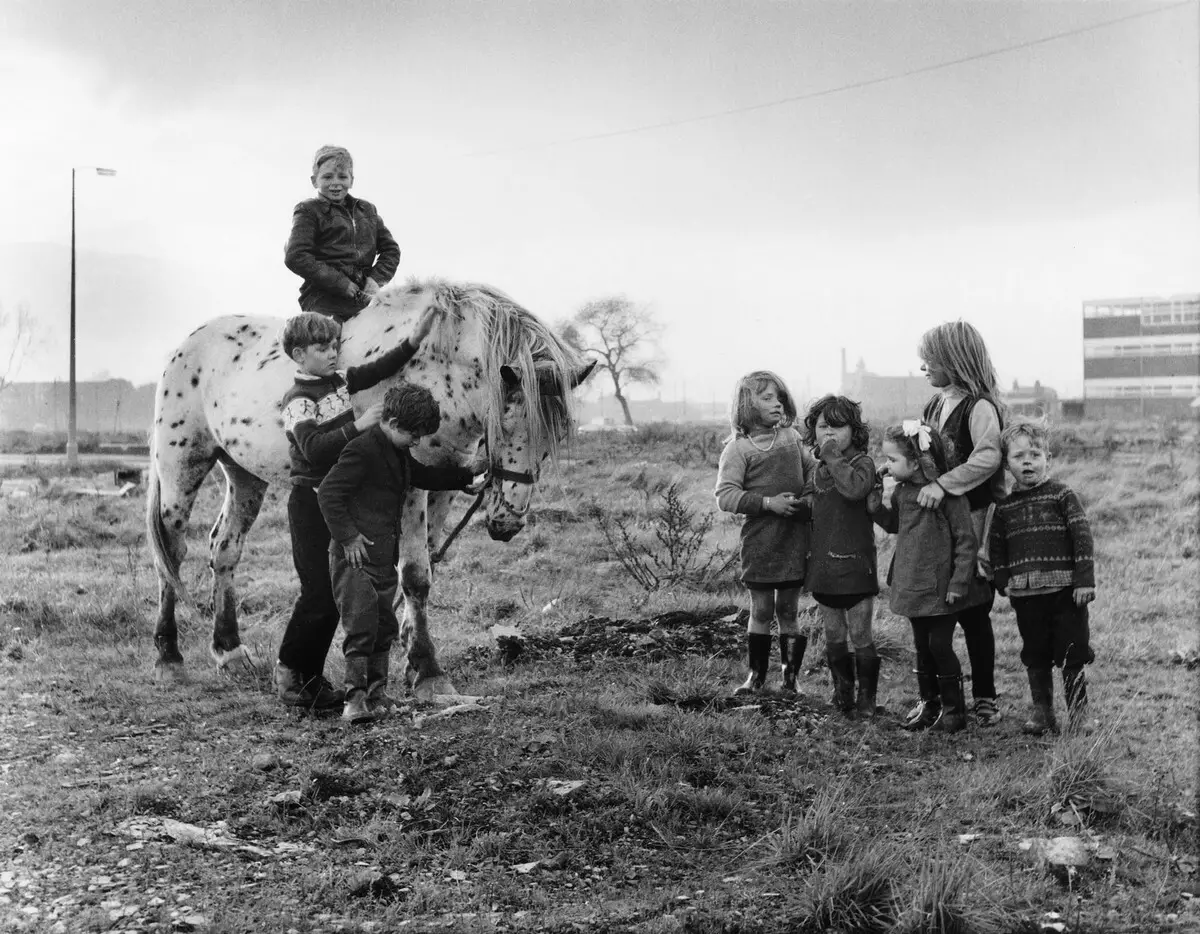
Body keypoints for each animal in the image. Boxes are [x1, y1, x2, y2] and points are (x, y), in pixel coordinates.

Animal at [146, 279, 595, 696]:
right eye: (507, 422)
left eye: (554, 435)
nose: (507, 524)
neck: (436, 369)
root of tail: (185, 345)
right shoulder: (412, 485)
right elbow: (414, 575)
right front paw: (428, 670)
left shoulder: (443, 485)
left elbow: (424, 566)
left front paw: (409, 652)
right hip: (181, 468)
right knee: (171, 551)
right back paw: (168, 656)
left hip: (244, 475)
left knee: (224, 548)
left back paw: (230, 651)